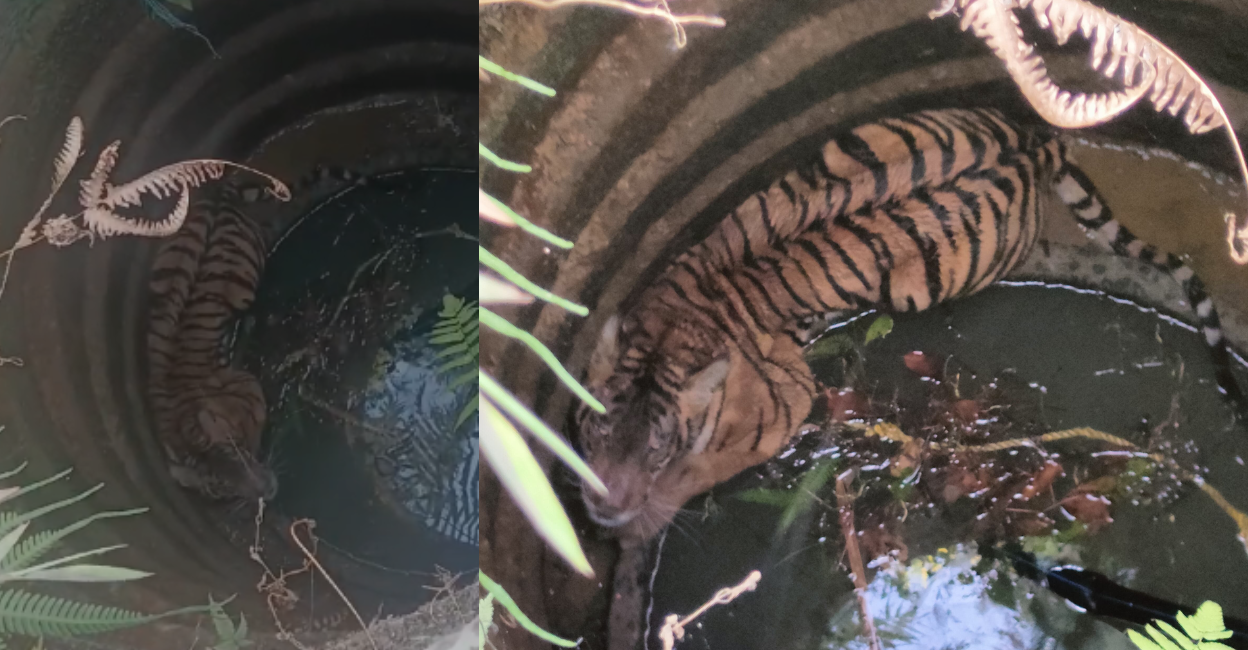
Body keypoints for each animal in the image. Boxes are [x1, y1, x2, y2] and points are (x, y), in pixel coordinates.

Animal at [147, 165, 368, 501]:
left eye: (239, 453)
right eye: (220, 487)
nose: (267, 491)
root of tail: (219, 199)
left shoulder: (249, 388)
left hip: (246, 273)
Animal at [574, 107, 1245, 544]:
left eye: (658, 451)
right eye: (595, 433)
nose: (602, 510)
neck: (672, 332)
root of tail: (1035, 141)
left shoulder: (783, 408)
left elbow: (700, 472)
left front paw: (640, 521)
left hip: (922, 280)